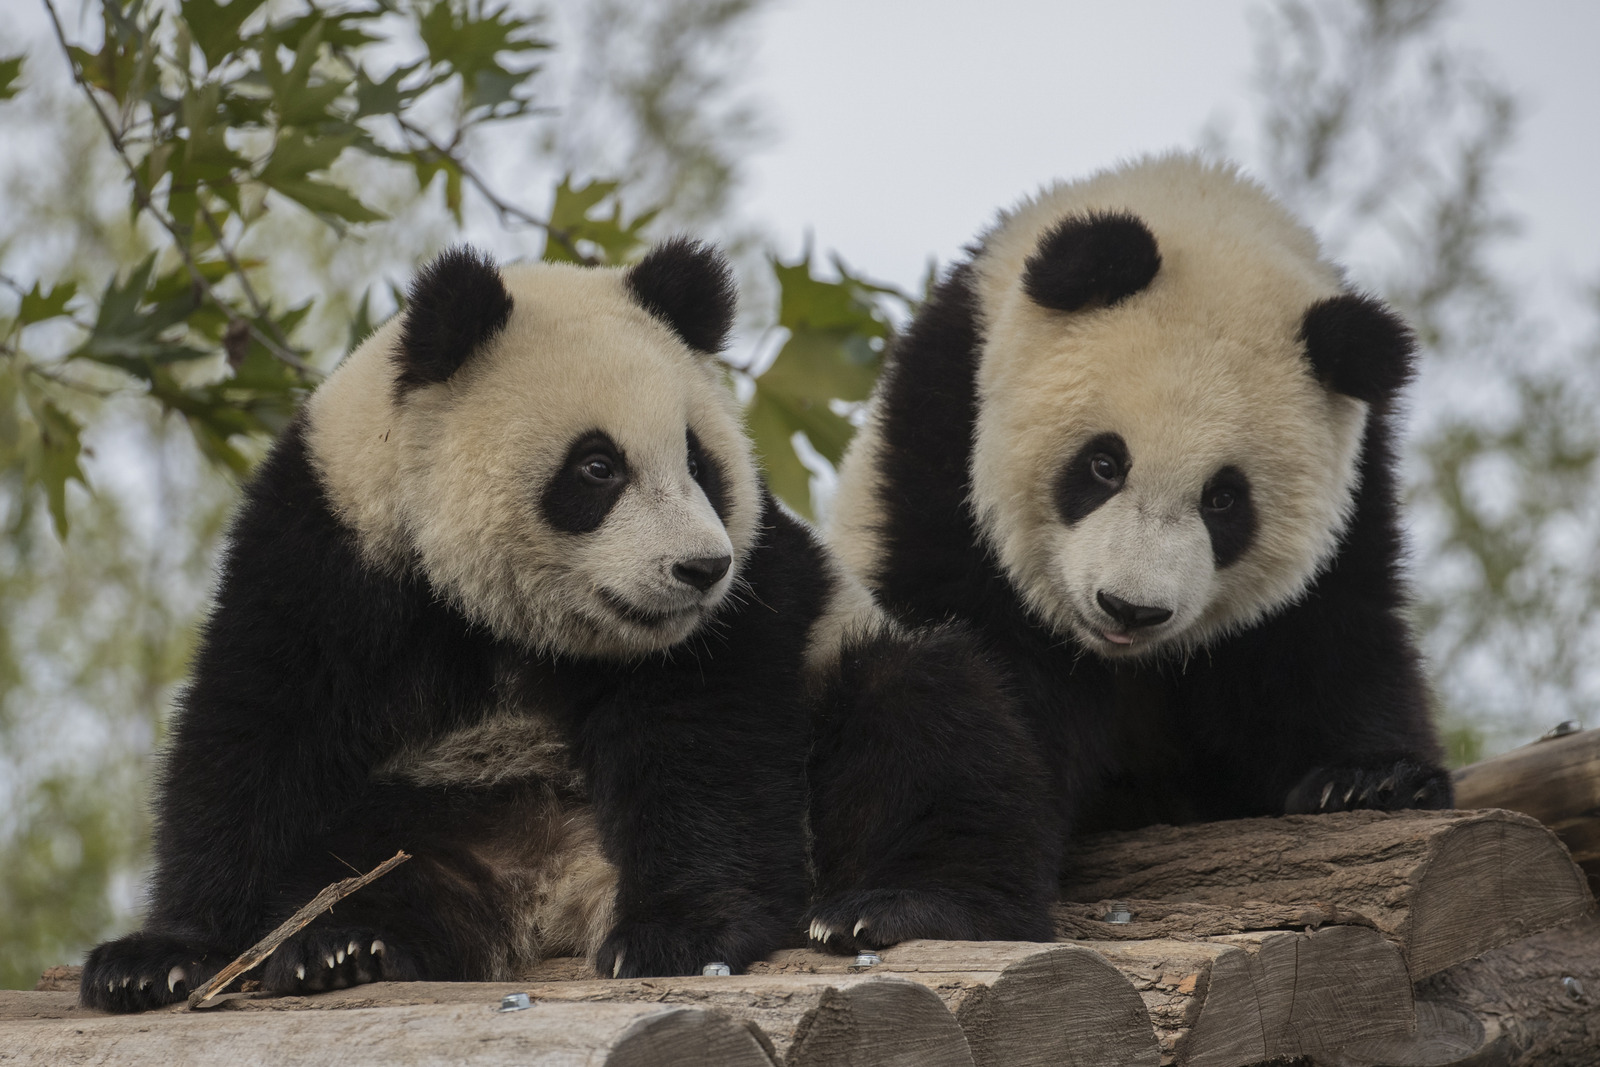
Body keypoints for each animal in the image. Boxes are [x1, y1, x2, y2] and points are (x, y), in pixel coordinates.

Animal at [80, 239, 1058, 1013]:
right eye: (597, 466)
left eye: (700, 461)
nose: (701, 569)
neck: (502, 621)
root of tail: (556, 895)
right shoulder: (332, 548)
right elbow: (252, 732)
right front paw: (158, 959)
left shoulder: (749, 606)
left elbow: (706, 740)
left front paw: (679, 929)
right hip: (433, 813)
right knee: (383, 859)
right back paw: (345, 944)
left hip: (847, 659)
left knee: (926, 716)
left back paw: (894, 904)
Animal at [828, 154, 1452, 846]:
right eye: (1104, 465)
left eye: (1224, 500)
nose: (1130, 609)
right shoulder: (941, 435)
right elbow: (969, 634)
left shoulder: (1358, 492)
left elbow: (1331, 640)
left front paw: (1373, 781)